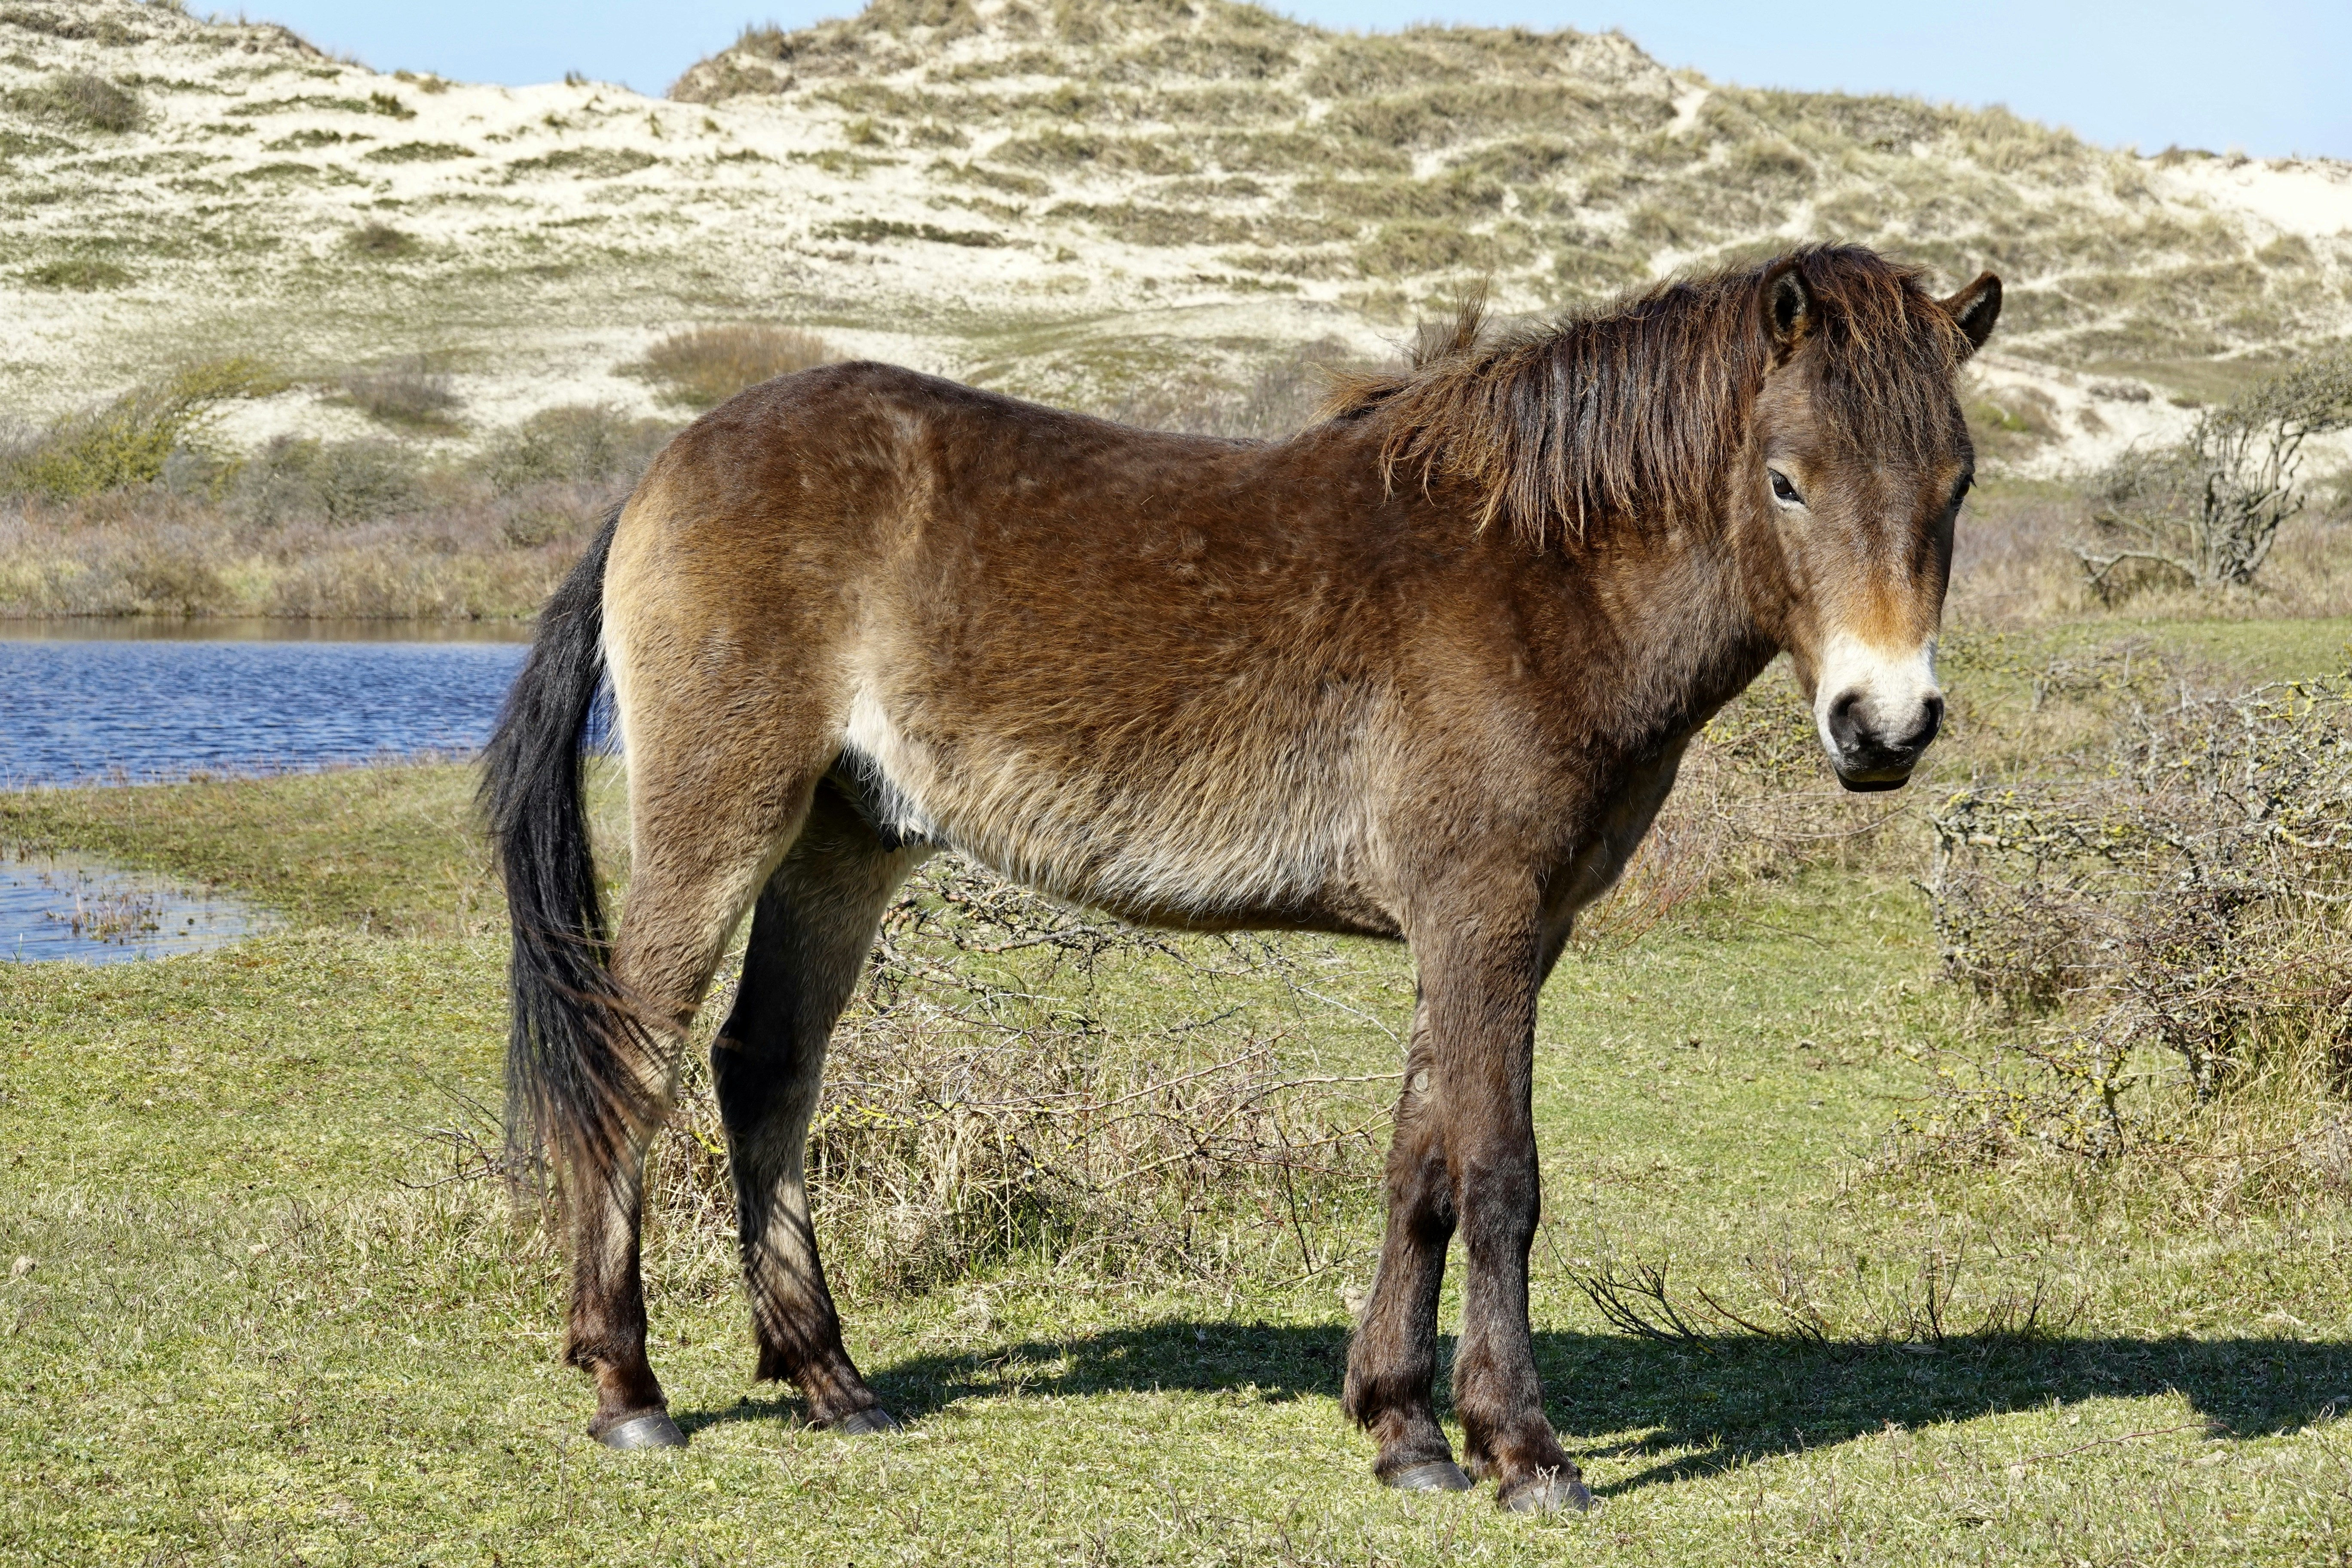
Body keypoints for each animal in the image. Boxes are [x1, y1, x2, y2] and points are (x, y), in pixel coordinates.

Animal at [484, 244, 1999, 1511]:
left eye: (1959, 485)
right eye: (1788, 479)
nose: (1885, 727)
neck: (1539, 573)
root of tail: (665, 466)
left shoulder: (1492, 929)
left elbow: (1420, 1171)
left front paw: (1404, 1429)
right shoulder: (1483, 919)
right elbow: (1499, 1175)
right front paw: (1525, 1451)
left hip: (849, 838)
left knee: (769, 1066)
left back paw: (825, 1377)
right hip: (725, 816)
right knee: (638, 1058)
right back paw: (628, 1384)